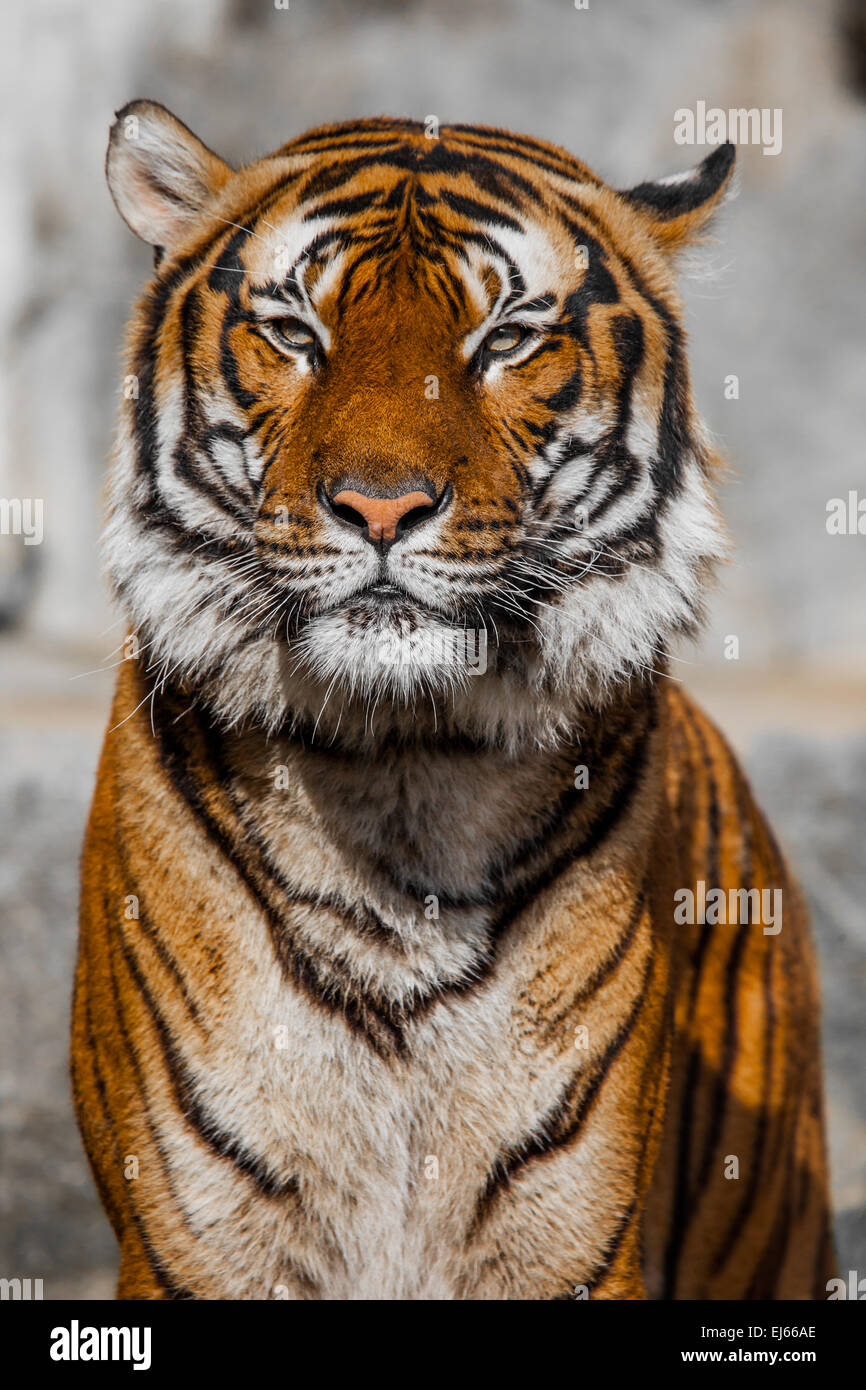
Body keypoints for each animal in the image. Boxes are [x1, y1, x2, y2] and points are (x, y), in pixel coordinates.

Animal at [71, 100, 834, 1301]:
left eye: (507, 338)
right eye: (293, 330)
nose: (380, 506)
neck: (400, 764)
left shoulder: (570, 1241)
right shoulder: (196, 1242)